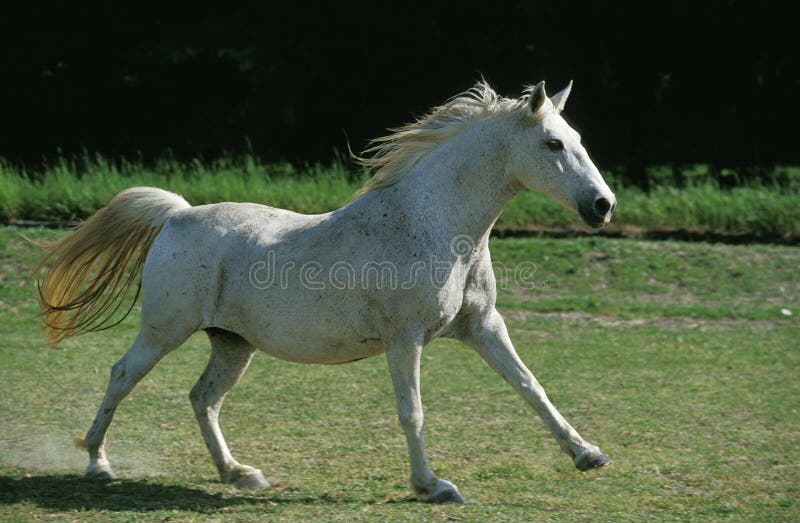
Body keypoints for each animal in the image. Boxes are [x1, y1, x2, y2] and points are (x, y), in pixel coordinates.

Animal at [34, 80, 616, 504]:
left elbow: (531, 387)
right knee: (122, 376)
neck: (435, 224)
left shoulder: (483, 326)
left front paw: (587, 455)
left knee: (203, 398)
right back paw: (98, 463)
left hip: (232, 343)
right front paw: (432, 487)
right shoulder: (406, 338)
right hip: (164, 330)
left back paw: (239, 474)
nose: (602, 206)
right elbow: (413, 411)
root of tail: (177, 215)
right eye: (553, 143)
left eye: (579, 139)